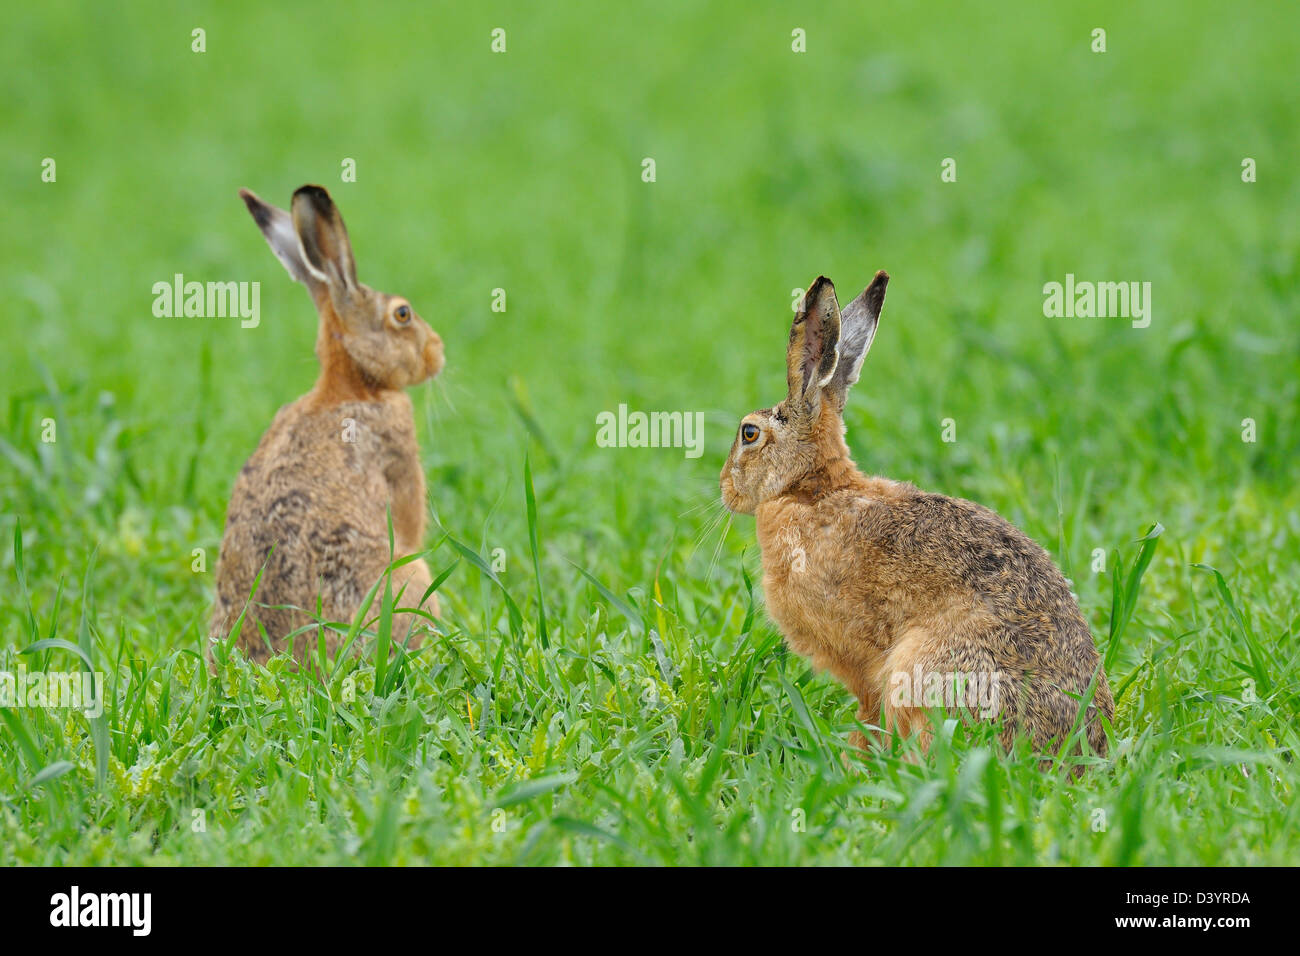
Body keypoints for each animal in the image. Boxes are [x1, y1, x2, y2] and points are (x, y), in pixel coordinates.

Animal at [720, 271, 1113, 763]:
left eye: (749, 433)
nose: (725, 490)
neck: (814, 491)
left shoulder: (864, 660)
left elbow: (869, 709)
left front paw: (853, 761)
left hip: (925, 664)